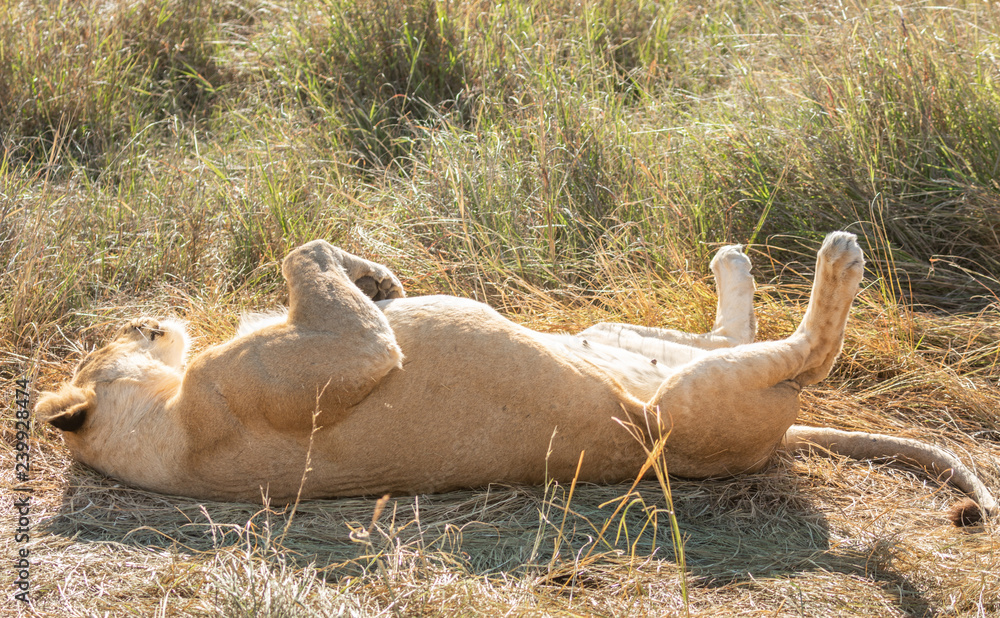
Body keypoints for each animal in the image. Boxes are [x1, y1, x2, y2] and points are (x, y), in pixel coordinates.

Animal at [35, 232, 997, 525]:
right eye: (122, 338)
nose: (148, 315)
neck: (164, 418)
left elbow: (315, 261)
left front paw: (379, 275)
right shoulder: (350, 359)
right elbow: (300, 254)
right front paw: (367, 274)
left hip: (612, 335)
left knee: (725, 329)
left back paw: (732, 262)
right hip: (680, 408)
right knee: (806, 351)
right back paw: (836, 262)